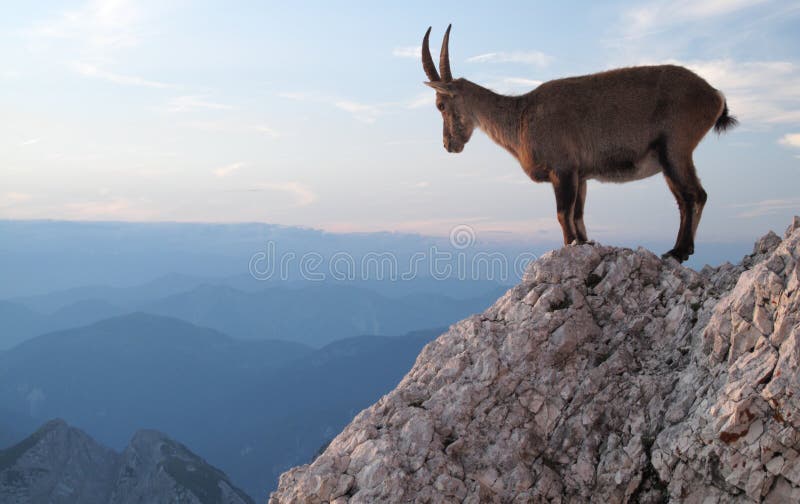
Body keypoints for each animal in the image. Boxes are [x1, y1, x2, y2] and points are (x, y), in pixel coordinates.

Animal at [421, 25, 737, 262]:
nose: (449, 144)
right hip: (669, 158)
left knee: (695, 195)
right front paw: (585, 247)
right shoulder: (581, 175)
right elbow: (579, 217)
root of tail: (715, 95)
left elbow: (563, 216)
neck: (521, 116)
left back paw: (679, 252)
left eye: (440, 105)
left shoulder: (563, 170)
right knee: (685, 199)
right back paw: (680, 250)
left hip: (675, 148)